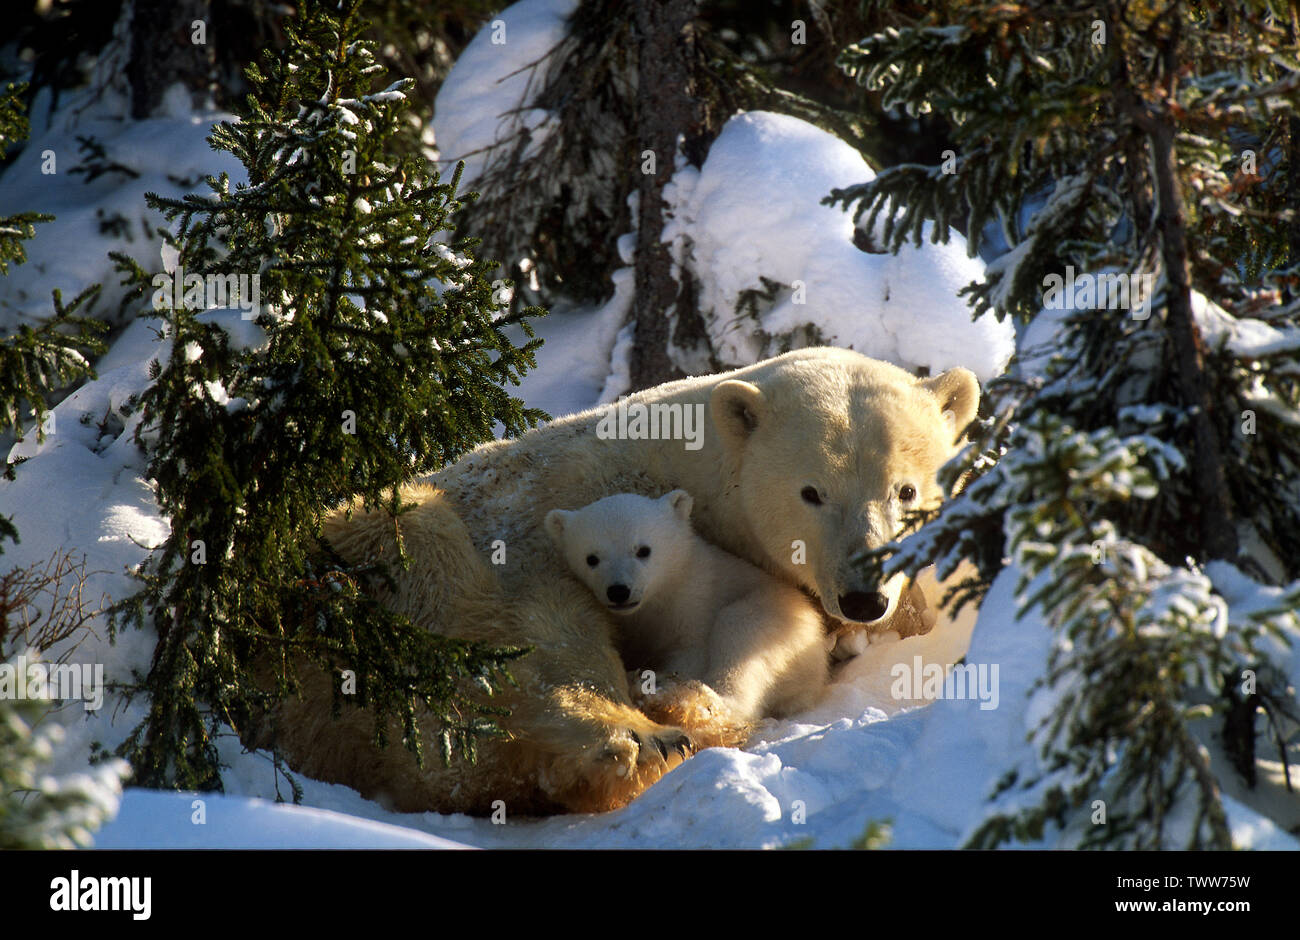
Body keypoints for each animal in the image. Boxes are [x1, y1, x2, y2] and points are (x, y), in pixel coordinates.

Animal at [544, 489, 830, 726]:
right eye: (591, 558)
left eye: (643, 550)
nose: (618, 590)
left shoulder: (696, 601)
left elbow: (692, 653)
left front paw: (660, 686)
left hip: (775, 620)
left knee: (740, 634)